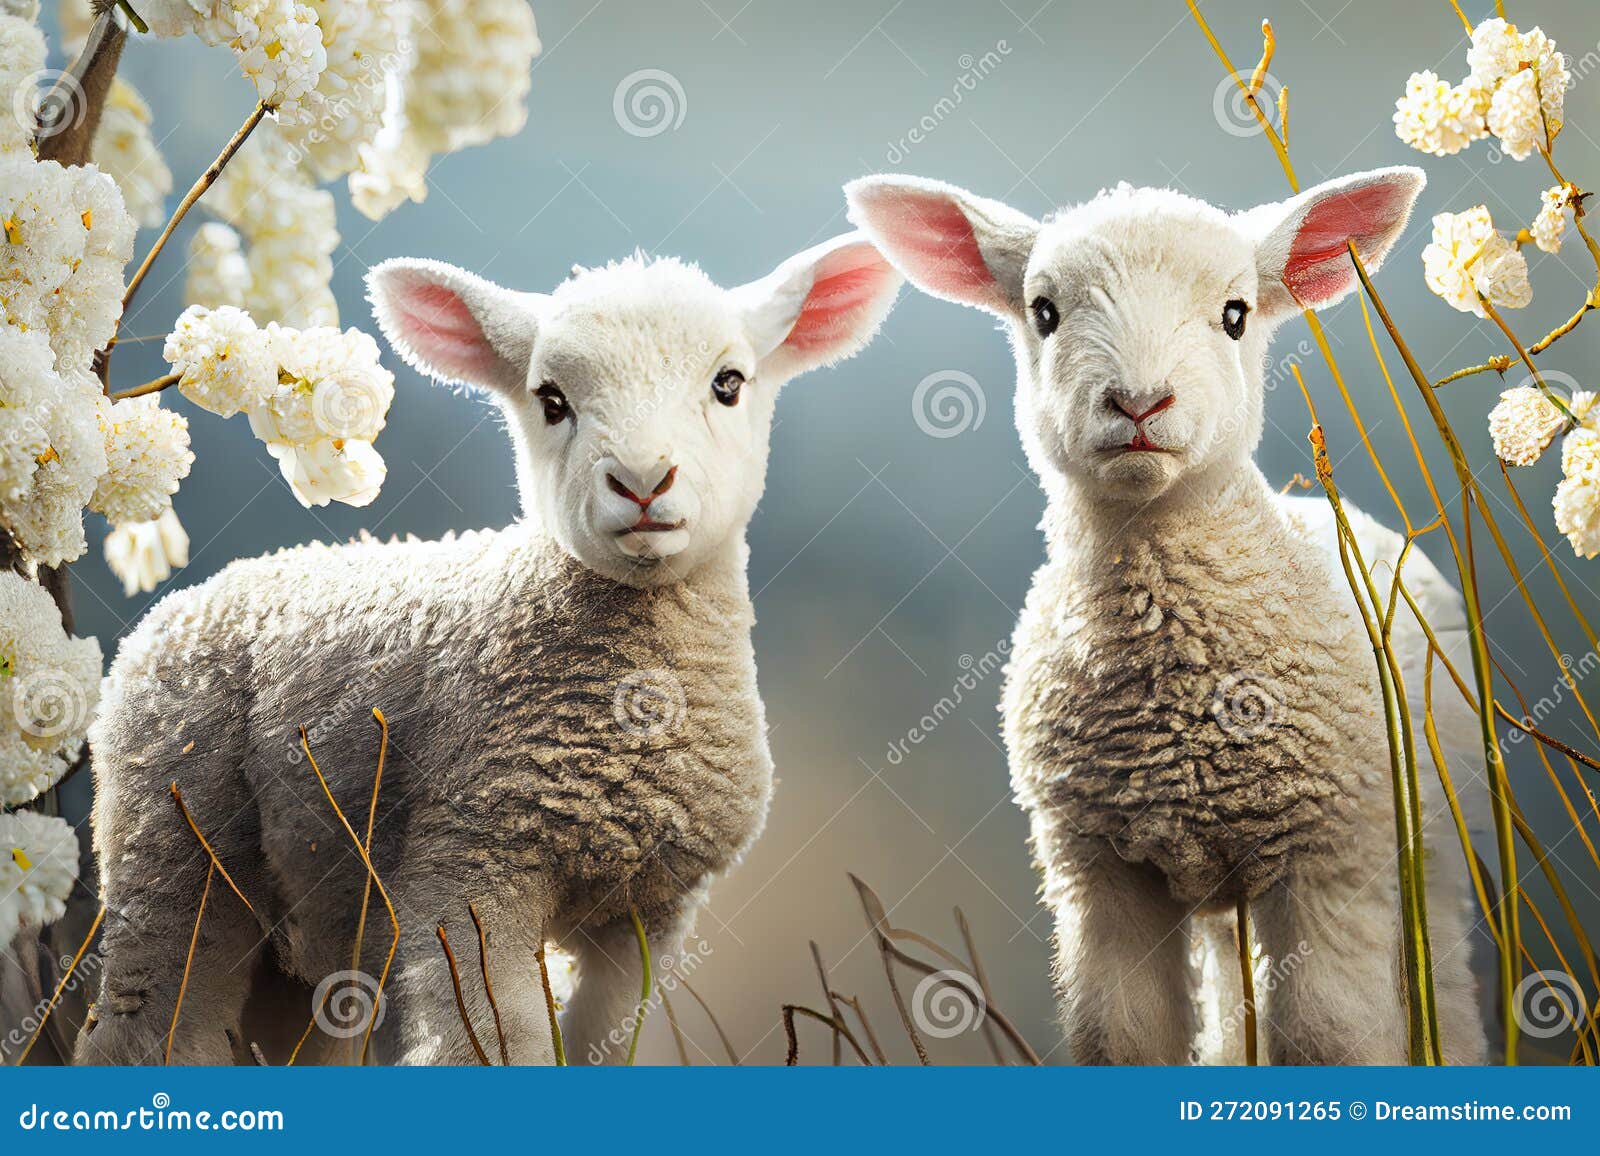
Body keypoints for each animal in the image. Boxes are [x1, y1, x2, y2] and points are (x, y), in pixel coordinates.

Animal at [75, 235, 903, 1066]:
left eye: (729, 383)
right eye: (552, 400)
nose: (641, 481)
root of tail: (183, 602)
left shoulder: (650, 914)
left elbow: (608, 1040)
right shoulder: (469, 875)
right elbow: (501, 1045)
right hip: (171, 840)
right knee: (150, 1023)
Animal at [846, 169, 1489, 1065]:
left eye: (1236, 313)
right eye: (1044, 310)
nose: (1140, 402)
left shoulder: (1329, 853)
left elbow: (1328, 1037)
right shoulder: (1097, 871)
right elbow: (1124, 1037)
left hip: (1429, 847)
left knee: (1447, 994)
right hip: (1226, 898)